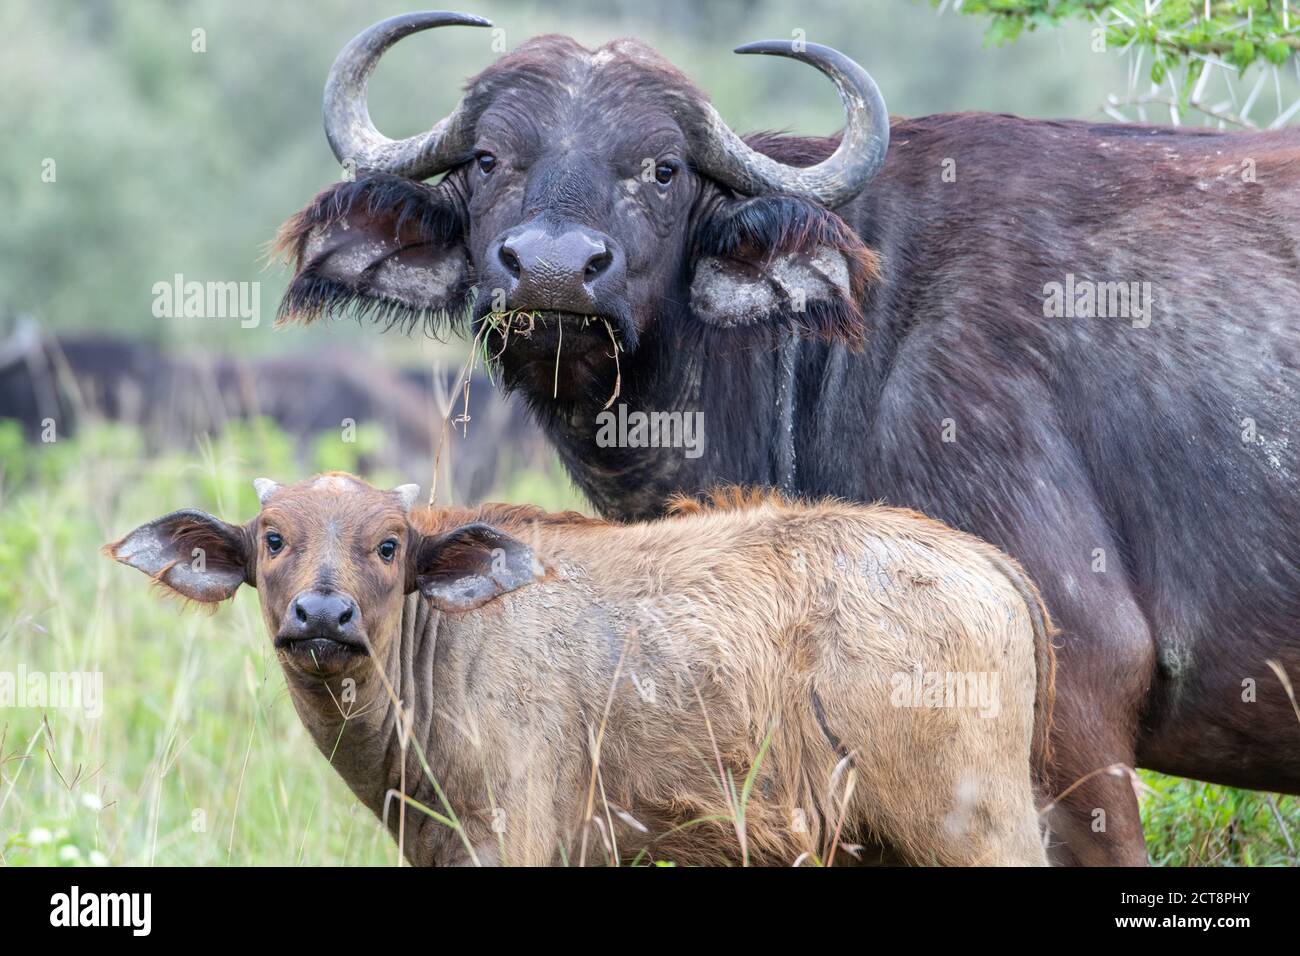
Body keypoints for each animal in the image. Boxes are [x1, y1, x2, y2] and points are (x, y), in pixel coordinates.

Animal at [107, 472, 1055, 866]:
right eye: (273, 539)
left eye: (388, 546)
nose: (322, 616)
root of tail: (984, 562)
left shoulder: (514, 840)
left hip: (978, 829)